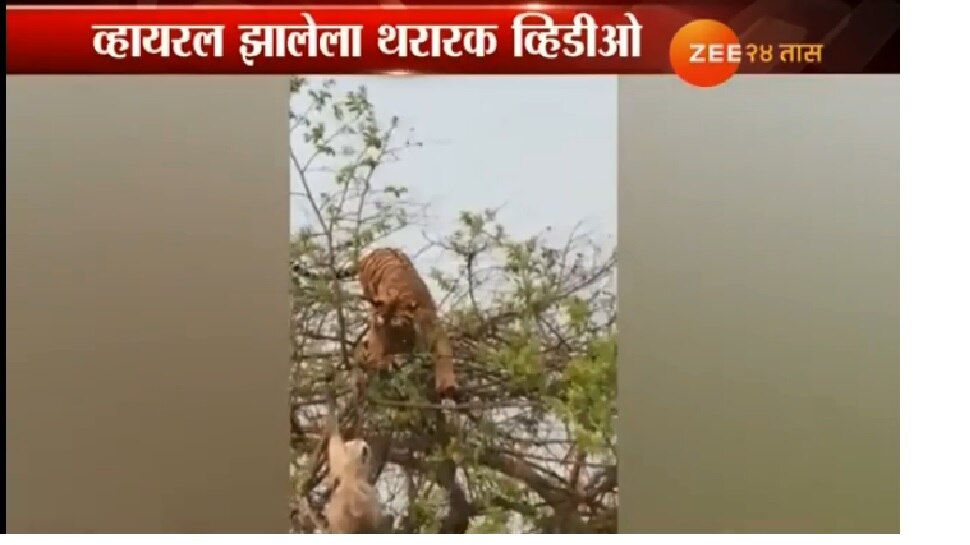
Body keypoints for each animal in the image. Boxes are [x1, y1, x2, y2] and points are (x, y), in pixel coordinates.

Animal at [337, 248, 458, 401]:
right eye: (380, 322)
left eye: (395, 322)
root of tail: (372, 253)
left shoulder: (433, 329)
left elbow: (444, 355)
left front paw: (447, 387)